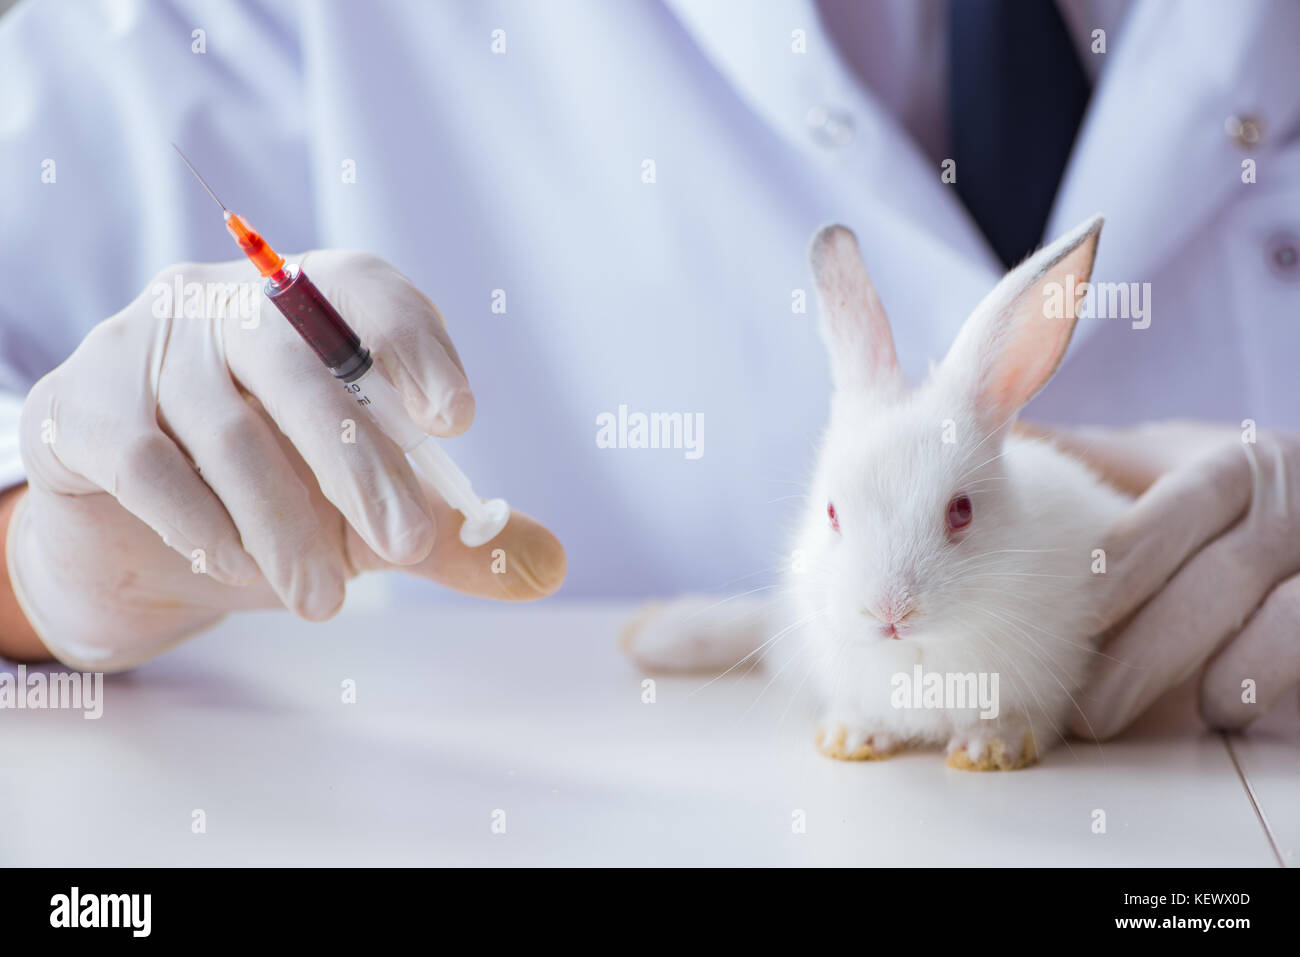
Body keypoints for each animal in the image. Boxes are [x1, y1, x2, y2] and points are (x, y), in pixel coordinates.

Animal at [622, 214, 1132, 770]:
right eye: (832, 513)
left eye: (962, 510)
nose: (890, 612)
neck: (917, 652)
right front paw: (850, 740)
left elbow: (1029, 717)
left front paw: (991, 750)